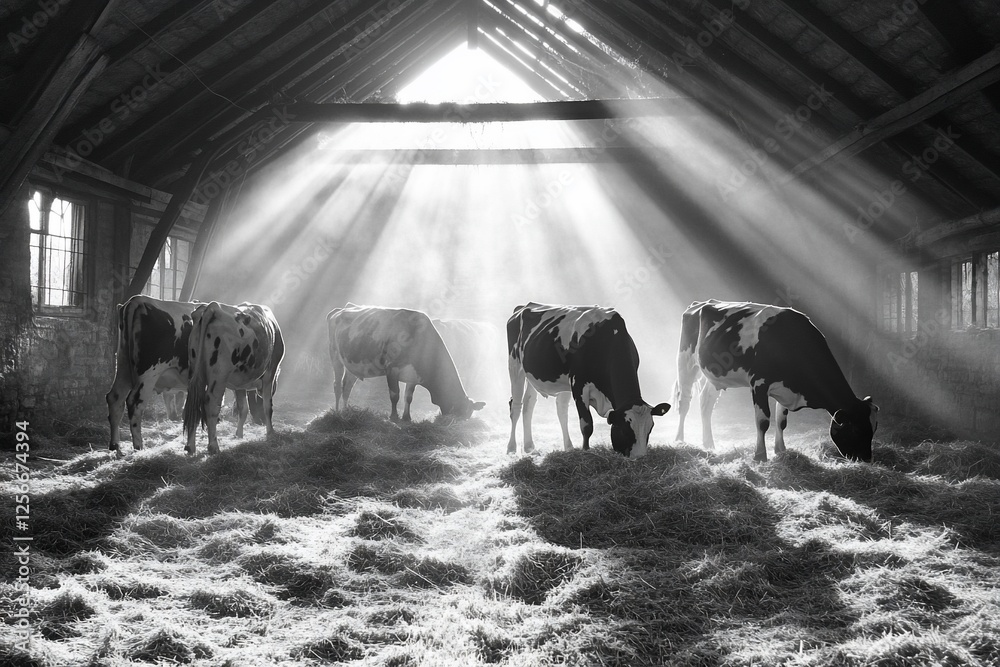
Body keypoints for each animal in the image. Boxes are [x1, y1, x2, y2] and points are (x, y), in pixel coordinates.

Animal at [106, 296, 199, 456]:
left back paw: (115, 445)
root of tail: (137, 300)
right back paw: (138, 446)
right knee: (134, 402)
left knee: (115, 398)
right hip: (148, 374)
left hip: (123, 367)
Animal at [183, 302, 284, 455]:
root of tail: (213, 307)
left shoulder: (240, 383)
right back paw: (213, 446)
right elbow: (268, 406)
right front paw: (271, 433)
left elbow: (243, 408)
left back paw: (190, 446)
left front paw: (239, 434)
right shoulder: (270, 372)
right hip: (219, 375)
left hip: (195, 371)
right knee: (211, 404)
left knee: (194, 403)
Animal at [327, 304, 485, 421]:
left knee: (347, 386)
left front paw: (406, 417)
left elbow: (408, 397)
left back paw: (346, 411)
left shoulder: (413, 375)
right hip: (335, 356)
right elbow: (395, 395)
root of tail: (340, 309)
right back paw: (337, 412)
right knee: (337, 386)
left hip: (353, 363)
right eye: (459, 412)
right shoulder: (391, 369)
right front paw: (394, 417)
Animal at [506, 302, 670, 458]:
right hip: (515, 366)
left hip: (536, 376)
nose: (640, 457)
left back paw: (534, 447)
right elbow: (586, 425)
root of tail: (524, 307)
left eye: (650, 429)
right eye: (625, 430)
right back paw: (511, 449)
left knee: (533, 405)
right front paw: (586, 451)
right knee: (516, 406)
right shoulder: (578, 385)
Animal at [674, 299, 878, 462]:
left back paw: (708, 443)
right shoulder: (759, 383)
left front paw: (781, 450)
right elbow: (763, 421)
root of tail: (700, 303)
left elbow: (781, 422)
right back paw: (679, 440)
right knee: (684, 403)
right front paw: (760, 456)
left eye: (874, 429)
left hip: (714, 375)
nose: (866, 459)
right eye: (856, 430)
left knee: (705, 404)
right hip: (686, 362)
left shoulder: (786, 389)